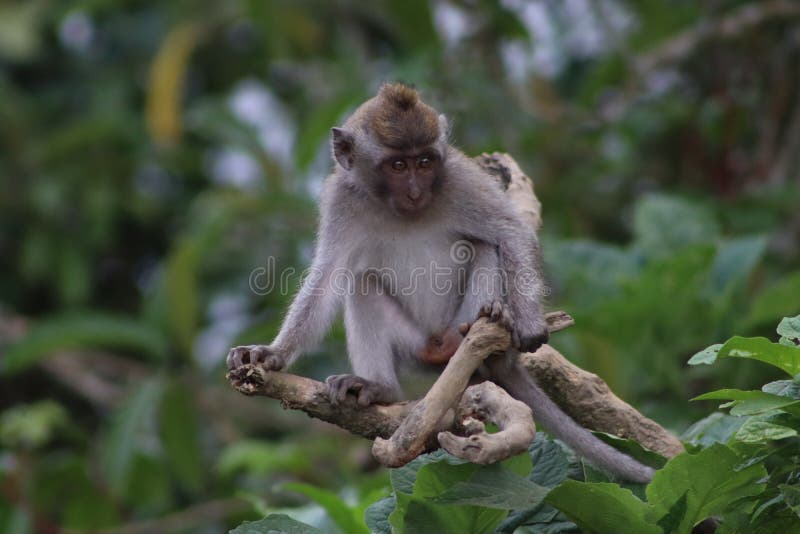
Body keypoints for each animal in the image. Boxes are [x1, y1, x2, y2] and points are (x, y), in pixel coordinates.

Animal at [227, 83, 655, 483]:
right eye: (398, 165)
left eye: (425, 161)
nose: (417, 190)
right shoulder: (341, 199)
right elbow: (329, 275)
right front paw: (270, 355)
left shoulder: (458, 178)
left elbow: (510, 232)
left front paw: (529, 320)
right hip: (415, 348)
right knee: (363, 284)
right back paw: (379, 387)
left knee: (483, 247)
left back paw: (479, 332)